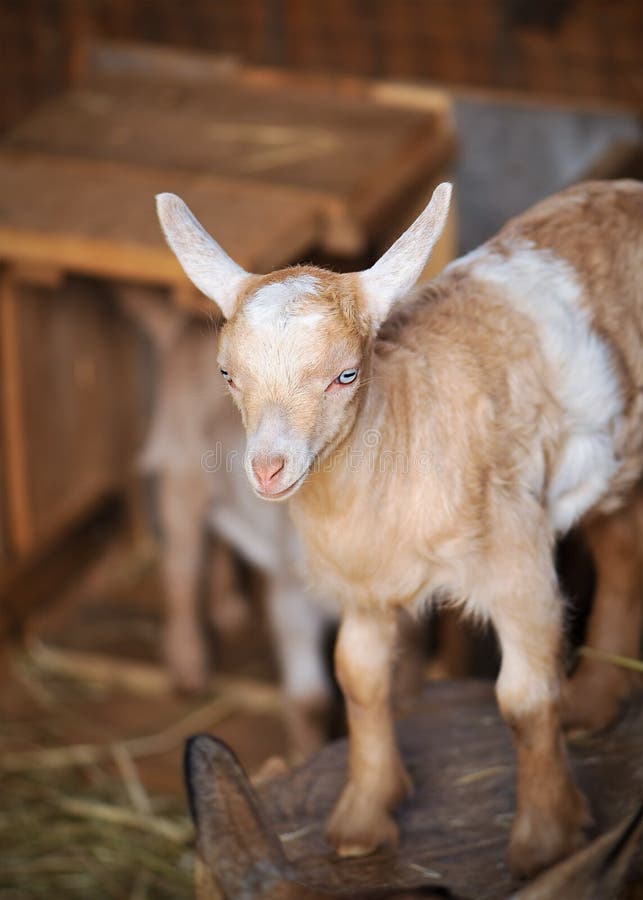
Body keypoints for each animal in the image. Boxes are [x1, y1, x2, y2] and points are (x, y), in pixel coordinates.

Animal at [157, 179, 643, 876]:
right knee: (623, 550)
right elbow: (358, 679)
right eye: (227, 374)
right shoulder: (363, 581)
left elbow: (523, 700)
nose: (269, 470)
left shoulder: (517, 567)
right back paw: (596, 703)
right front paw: (363, 818)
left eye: (346, 374)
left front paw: (545, 844)